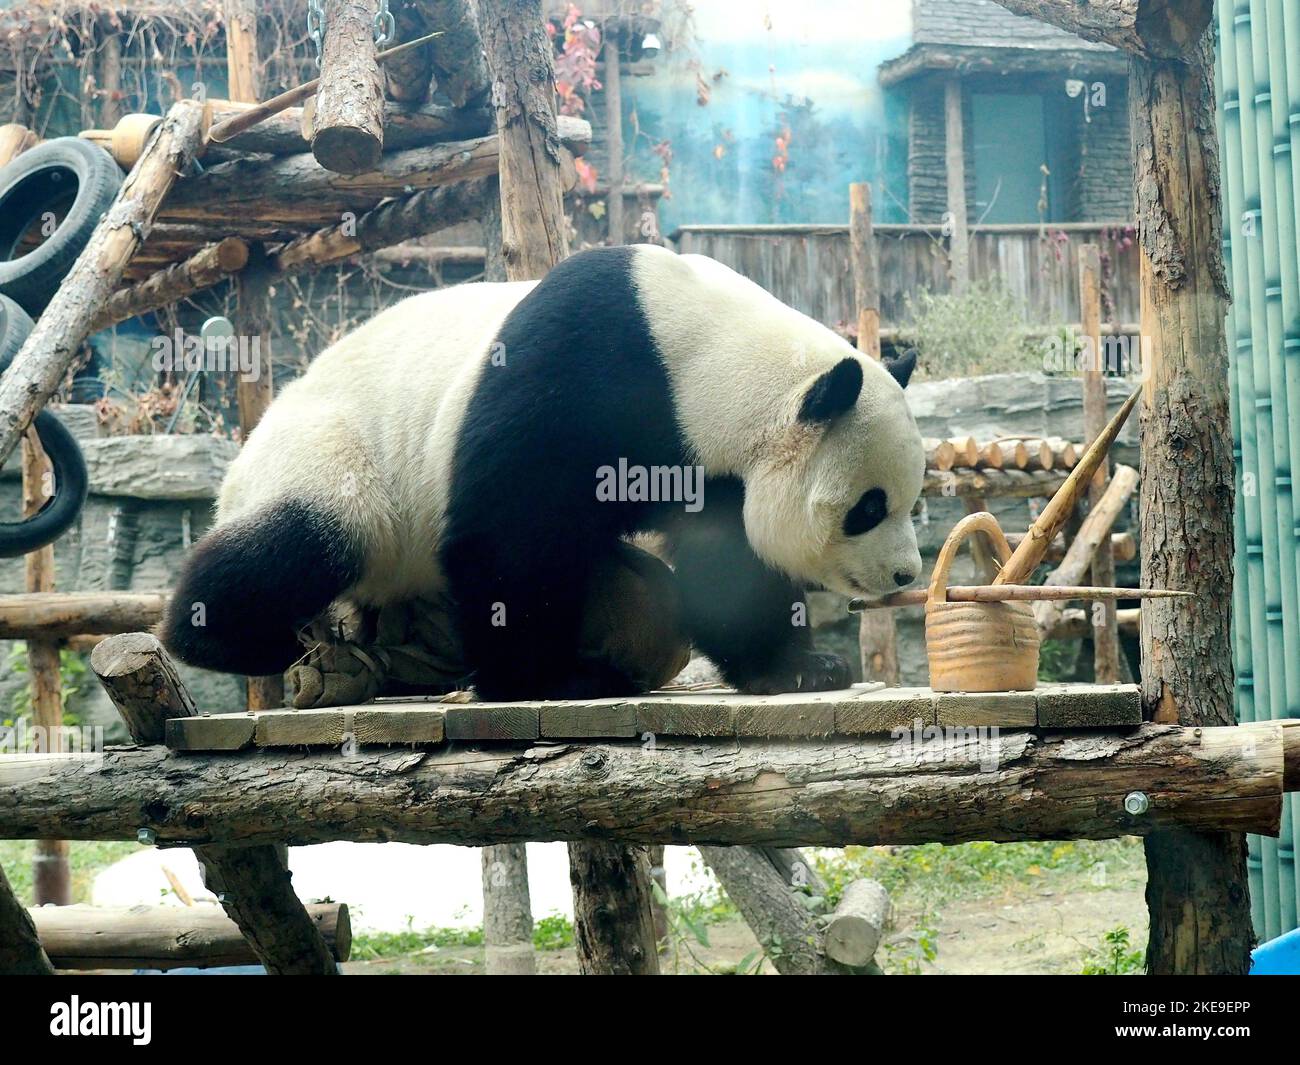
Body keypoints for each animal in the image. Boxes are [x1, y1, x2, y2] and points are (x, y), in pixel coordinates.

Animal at [162, 244, 924, 700]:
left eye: (912, 502)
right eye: (867, 506)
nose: (904, 574)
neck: (704, 360)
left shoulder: (711, 464)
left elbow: (729, 563)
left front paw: (800, 667)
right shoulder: (577, 371)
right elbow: (509, 533)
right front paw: (543, 675)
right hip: (332, 454)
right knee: (308, 536)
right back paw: (224, 636)